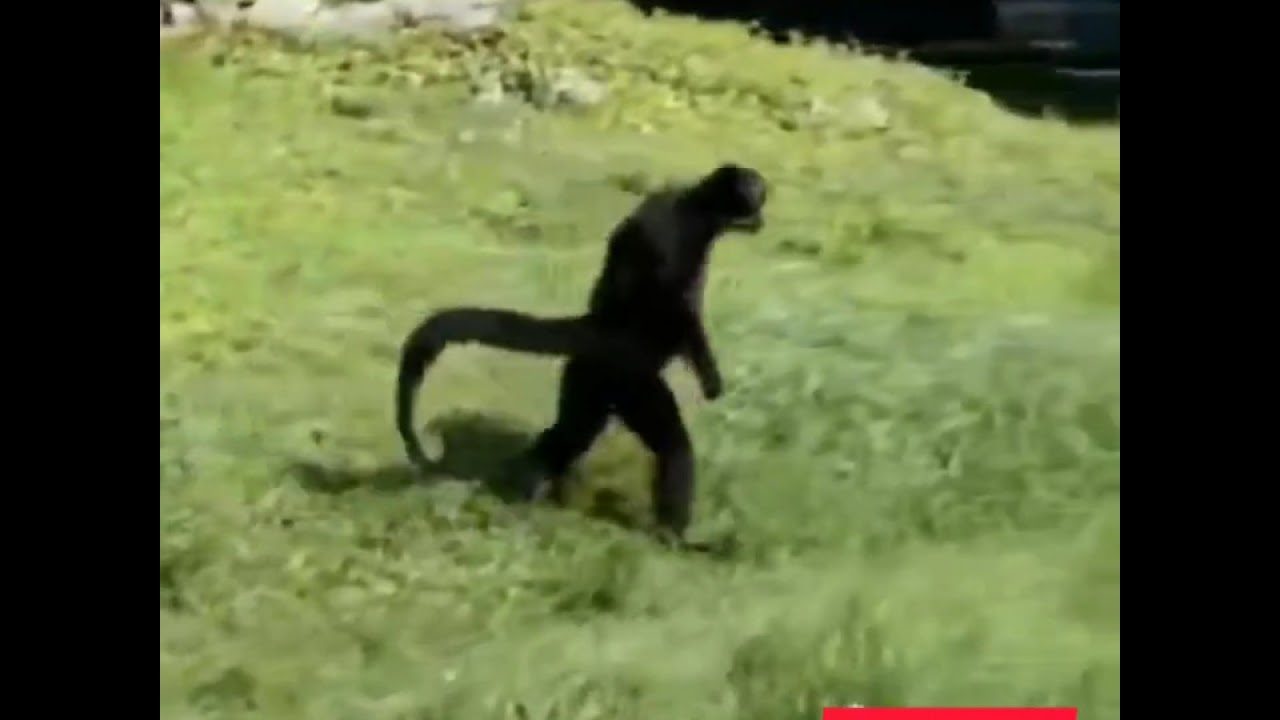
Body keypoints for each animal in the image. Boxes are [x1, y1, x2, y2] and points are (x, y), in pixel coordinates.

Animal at [395, 163, 768, 544]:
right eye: (758, 192)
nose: (761, 209)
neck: (695, 207)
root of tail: (595, 331)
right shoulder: (676, 236)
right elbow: (677, 308)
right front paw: (711, 378)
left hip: (590, 383)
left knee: (570, 432)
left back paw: (520, 484)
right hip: (630, 382)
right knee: (671, 446)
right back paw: (673, 536)